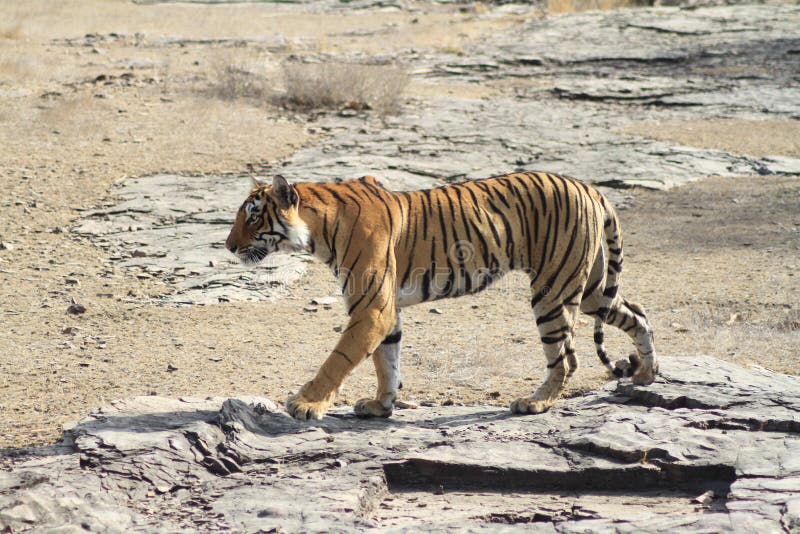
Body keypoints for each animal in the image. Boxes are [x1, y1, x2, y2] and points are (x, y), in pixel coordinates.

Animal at [225, 172, 658, 420]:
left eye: (252, 216)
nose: (228, 246)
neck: (319, 229)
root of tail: (590, 187)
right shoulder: (385, 310)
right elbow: (386, 361)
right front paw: (381, 406)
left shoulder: (372, 308)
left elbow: (340, 359)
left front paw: (306, 404)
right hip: (590, 288)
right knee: (637, 312)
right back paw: (646, 373)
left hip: (553, 290)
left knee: (566, 358)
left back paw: (535, 403)